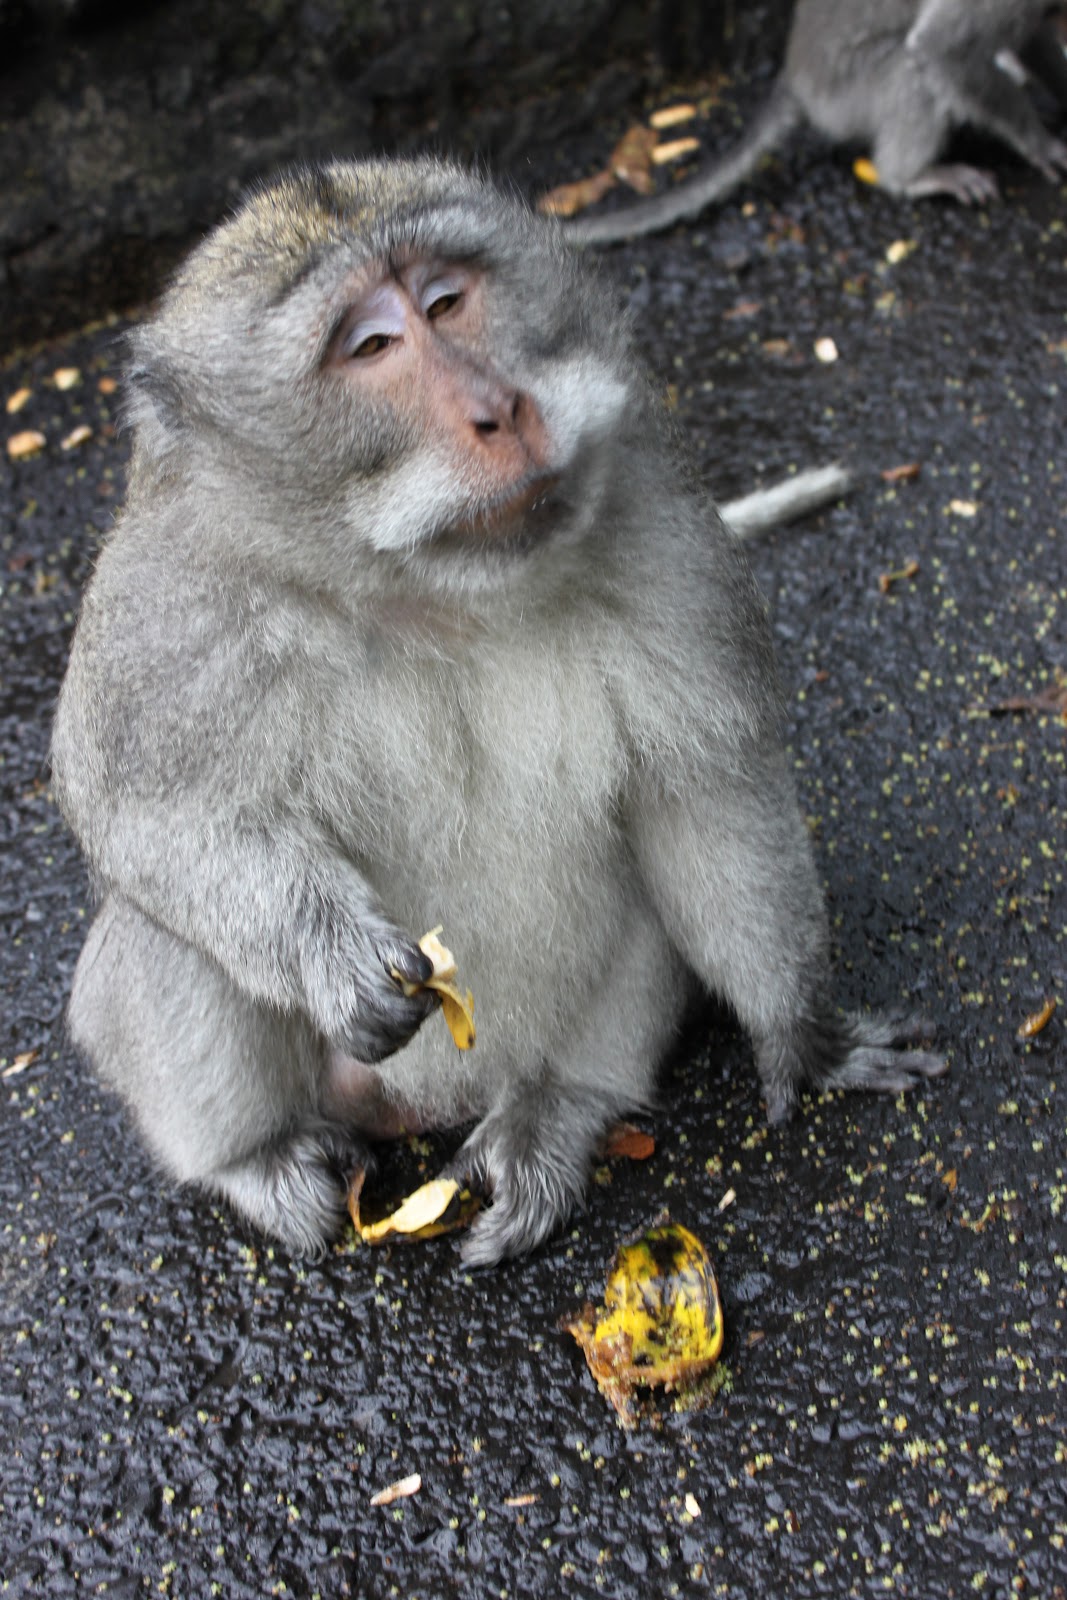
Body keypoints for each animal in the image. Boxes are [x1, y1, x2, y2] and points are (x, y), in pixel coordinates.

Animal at [50, 157, 944, 1269]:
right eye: (370, 346)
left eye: (445, 300)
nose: (498, 407)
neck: (429, 589)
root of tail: (421, 1109)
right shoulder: (169, 605)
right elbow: (146, 814)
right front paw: (333, 961)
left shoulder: (661, 533)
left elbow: (704, 797)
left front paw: (805, 1038)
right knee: (166, 933)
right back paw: (253, 1160)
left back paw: (556, 1112)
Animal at [568, 0, 1067, 246]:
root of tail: (796, 74)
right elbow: (946, 47)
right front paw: (1042, 145)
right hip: (849, 94)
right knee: (911, 68)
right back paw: (912, 177)